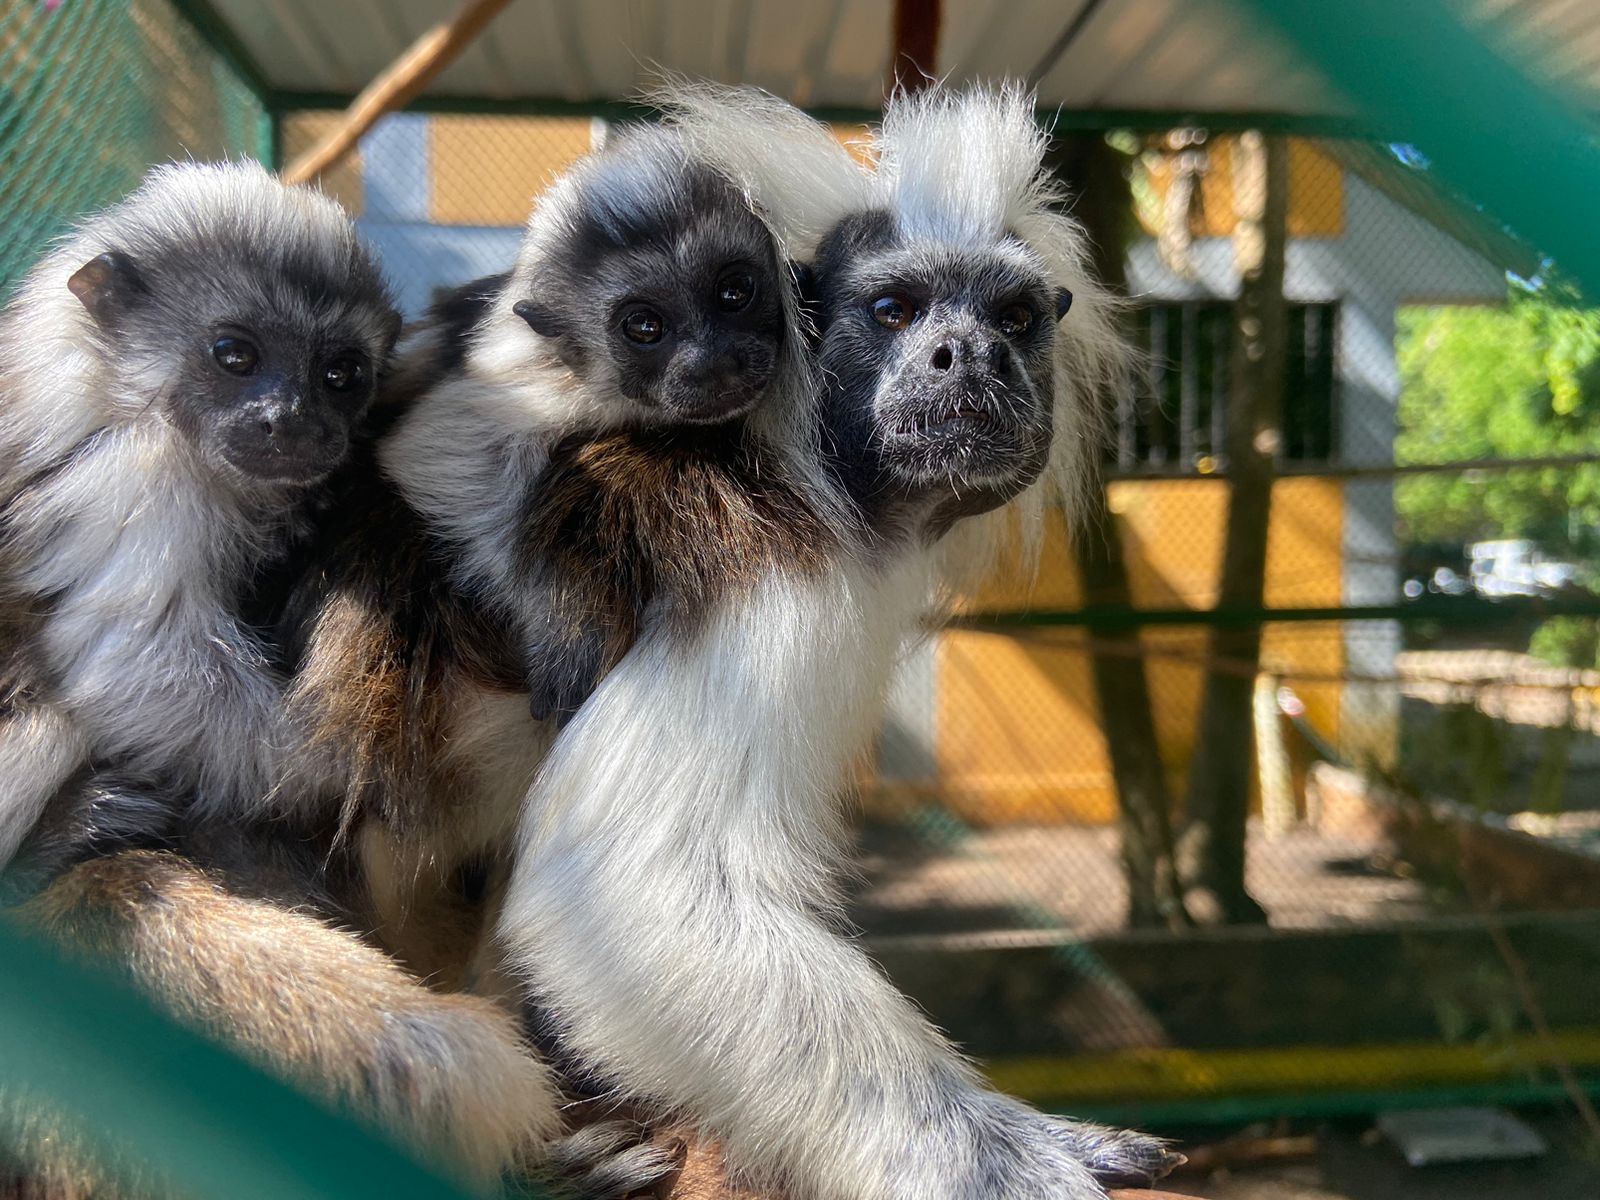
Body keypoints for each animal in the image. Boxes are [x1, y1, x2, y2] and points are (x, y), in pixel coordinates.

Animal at [488, 84, 1179, 1200]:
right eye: (895, 311)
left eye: (1013, 319)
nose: (968, 356)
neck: (794, 455)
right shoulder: (767, 573)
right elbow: (632, 875)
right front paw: (996, 1158)